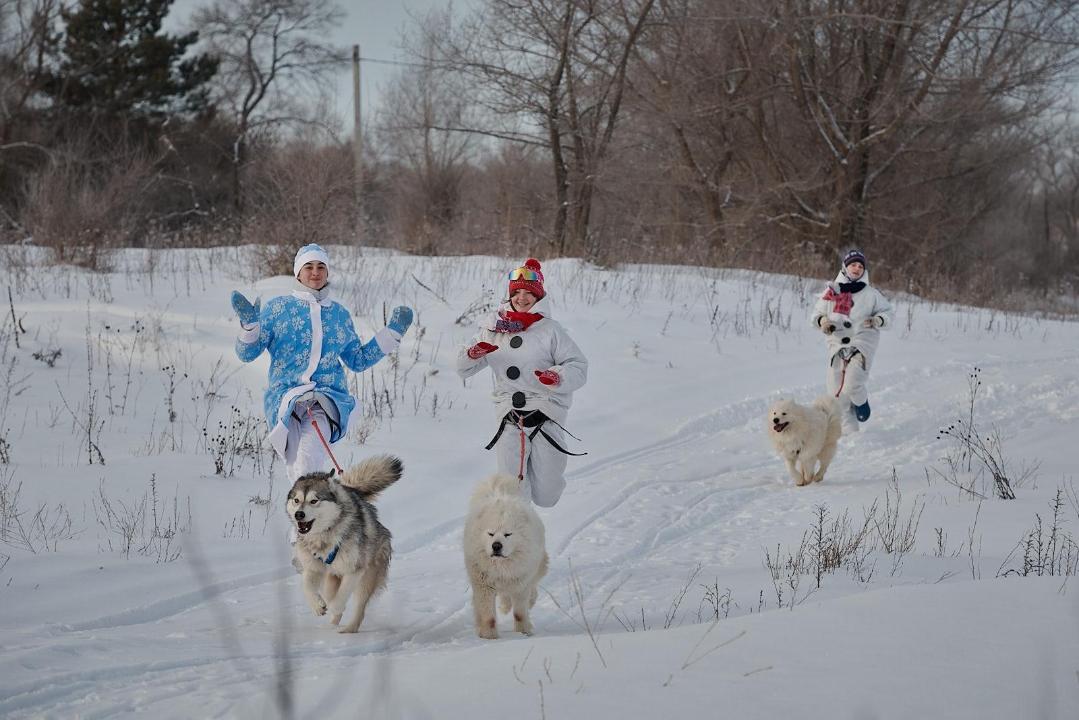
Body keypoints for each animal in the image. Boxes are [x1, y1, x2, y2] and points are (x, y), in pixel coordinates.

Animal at [287, 459, 401, 634]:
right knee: (329, 593)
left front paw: (335, 607)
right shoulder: (313, 568)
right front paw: (317, 606)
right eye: (296, 500)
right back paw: (331, 624)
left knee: (359, 608)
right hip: (330, 578)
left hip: (366, 579)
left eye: (314, 500)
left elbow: (341, 596)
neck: (325, 536)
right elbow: (306, 587)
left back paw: (349, 628)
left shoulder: (354, 570)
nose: (298, 514)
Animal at [461, 474, 548, 639]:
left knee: (532, 587)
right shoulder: (484, 585)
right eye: (490, 533)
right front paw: (489, 636)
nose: (496, 546)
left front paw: (523, 631)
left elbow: (520, 613)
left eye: (508, 534)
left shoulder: (520, 582)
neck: (502, 567)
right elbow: (488, 617)